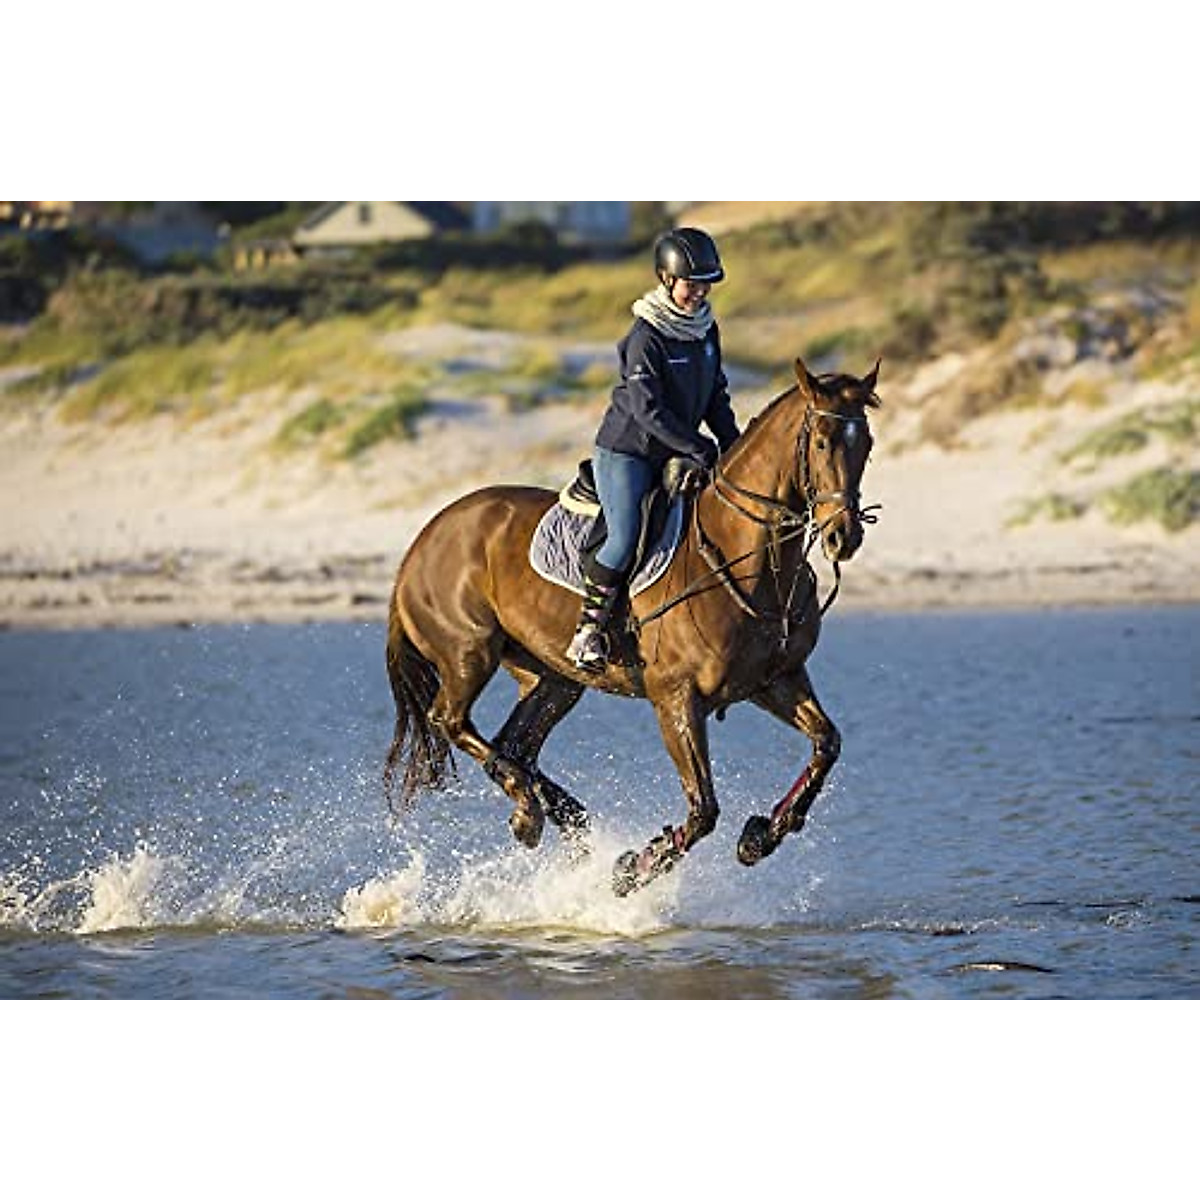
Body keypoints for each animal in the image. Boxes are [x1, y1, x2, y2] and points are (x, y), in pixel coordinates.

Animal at [384, 357, 881, 896]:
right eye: (822, 443)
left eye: (867, 444)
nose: (843, 536)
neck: (748, 558)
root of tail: (422, 540)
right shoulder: (676, 700)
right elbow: (703, 810)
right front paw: (631, 869)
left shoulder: (776, 680)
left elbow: (826, 744)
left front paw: (760, 837)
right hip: (468, 654)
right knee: (450, 720)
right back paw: (530, 810)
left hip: (553, 678)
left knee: (515, 744)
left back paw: (557, 816)